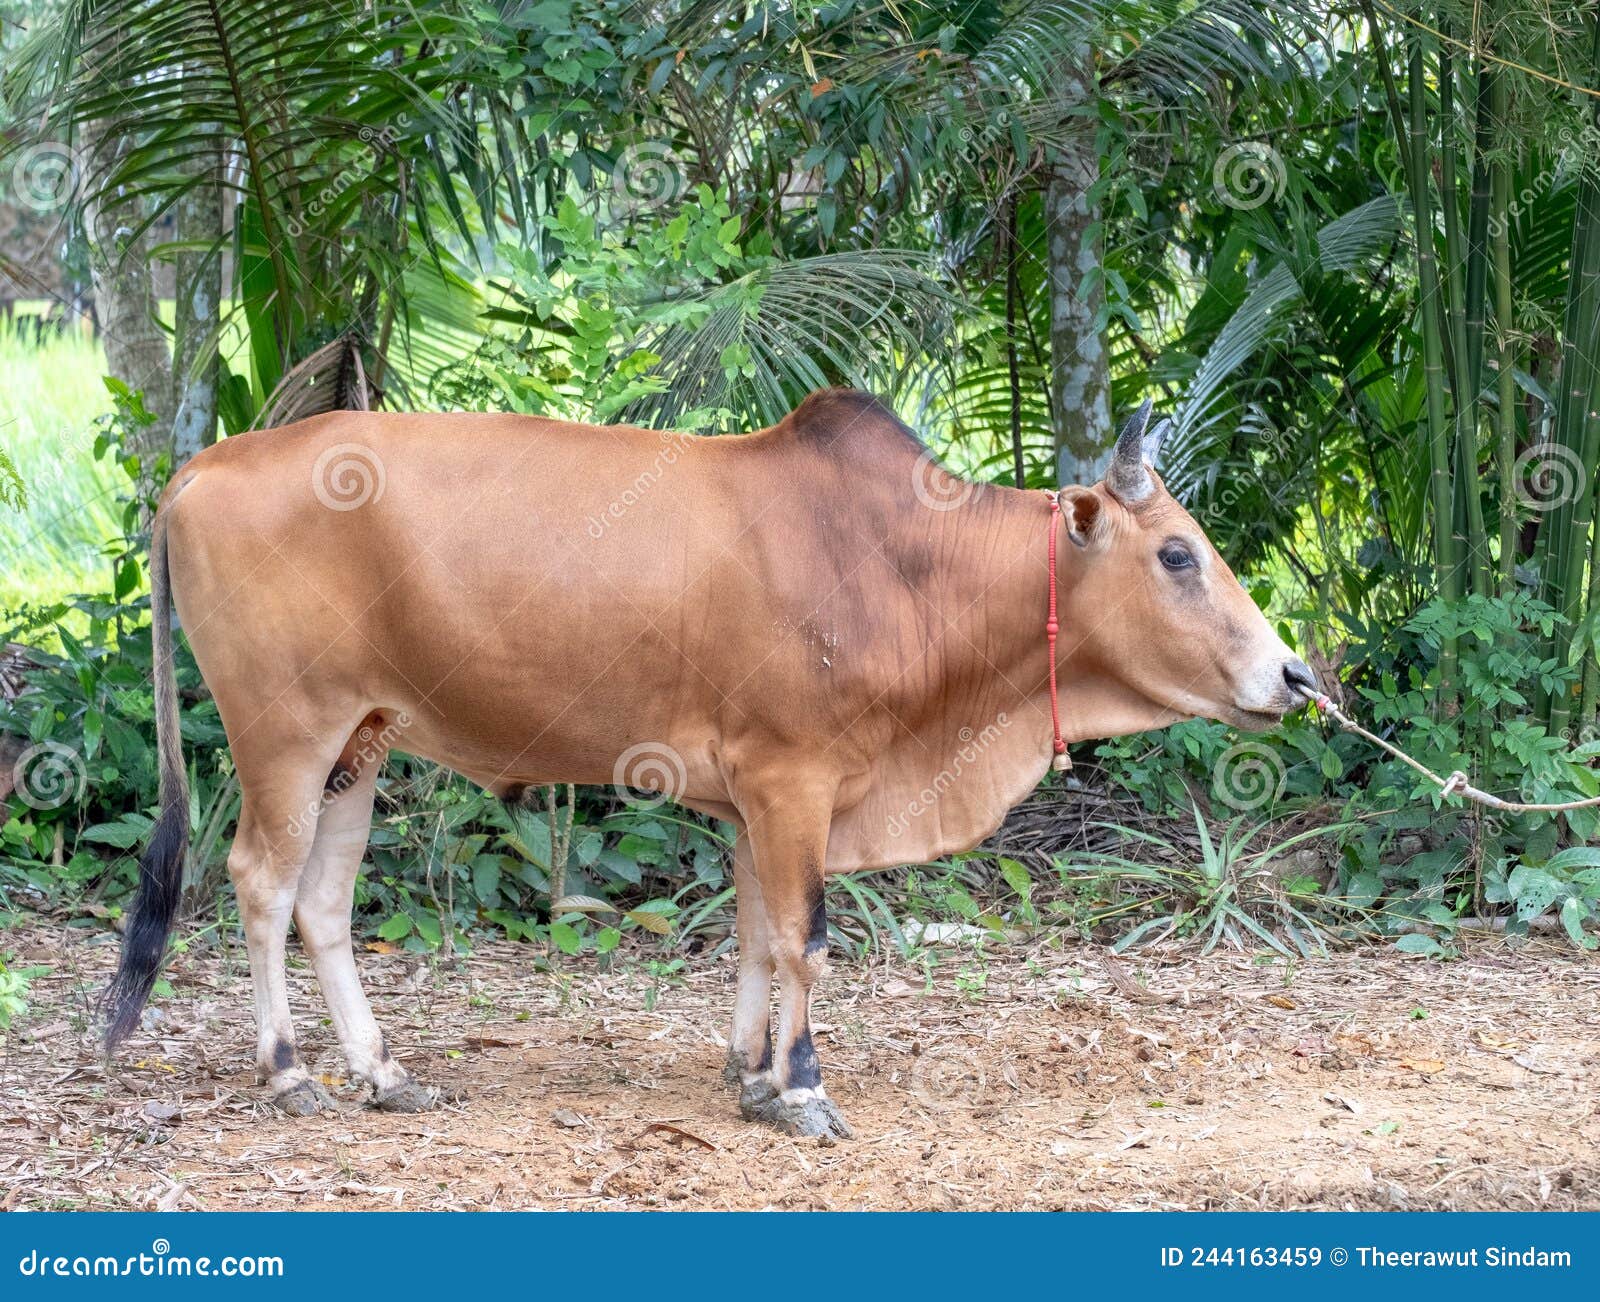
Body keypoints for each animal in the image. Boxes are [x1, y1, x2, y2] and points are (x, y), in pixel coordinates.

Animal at [104, 389, 1314, 1139]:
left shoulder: (751, 802)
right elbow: (806, 940)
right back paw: (289, 1071)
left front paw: (751, 1077)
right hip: (285, 733)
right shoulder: (793, 780)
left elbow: (754, 935)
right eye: (1176, 555)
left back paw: (382, 1071)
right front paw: (804, 1091)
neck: (905, 565)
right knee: (260, 884)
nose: (1295, 676)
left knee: (324, 902)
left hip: (361, 740)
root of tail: (199, 468)